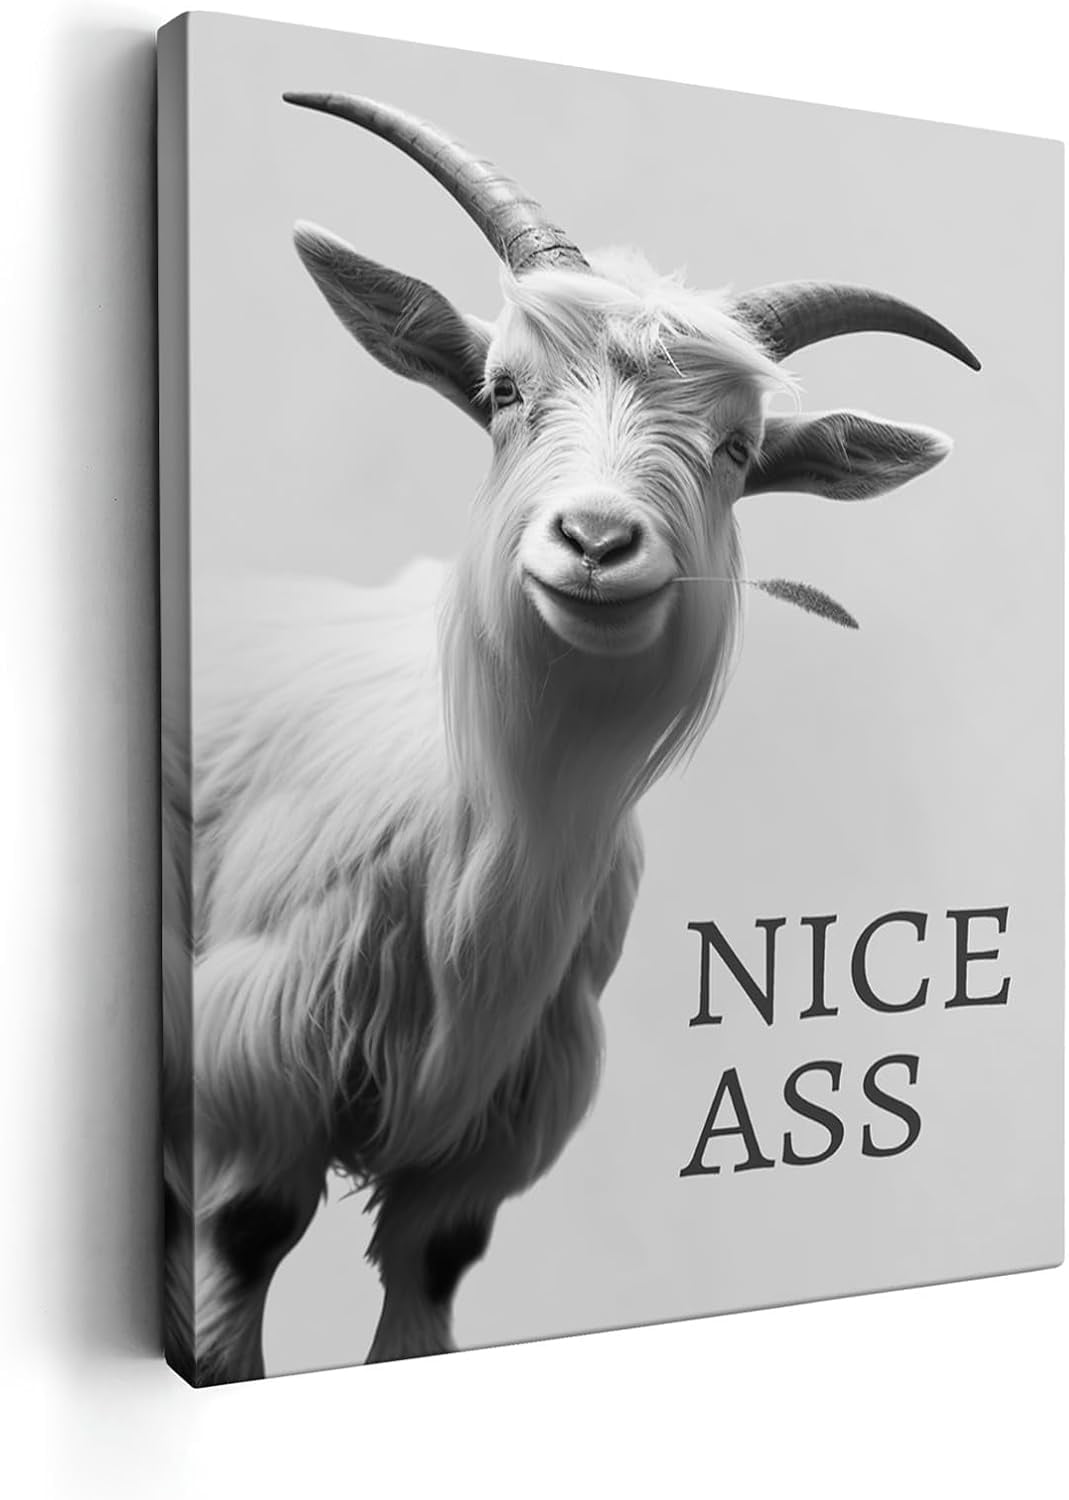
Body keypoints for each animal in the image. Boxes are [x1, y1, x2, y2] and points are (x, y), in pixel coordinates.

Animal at [162, 91, 979, 1384]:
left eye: (738, 448)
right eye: (502, 390)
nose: (595, 540)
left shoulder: (485, 1153)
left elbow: (428, 1289)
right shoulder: (253, 1085)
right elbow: (239, 1267)